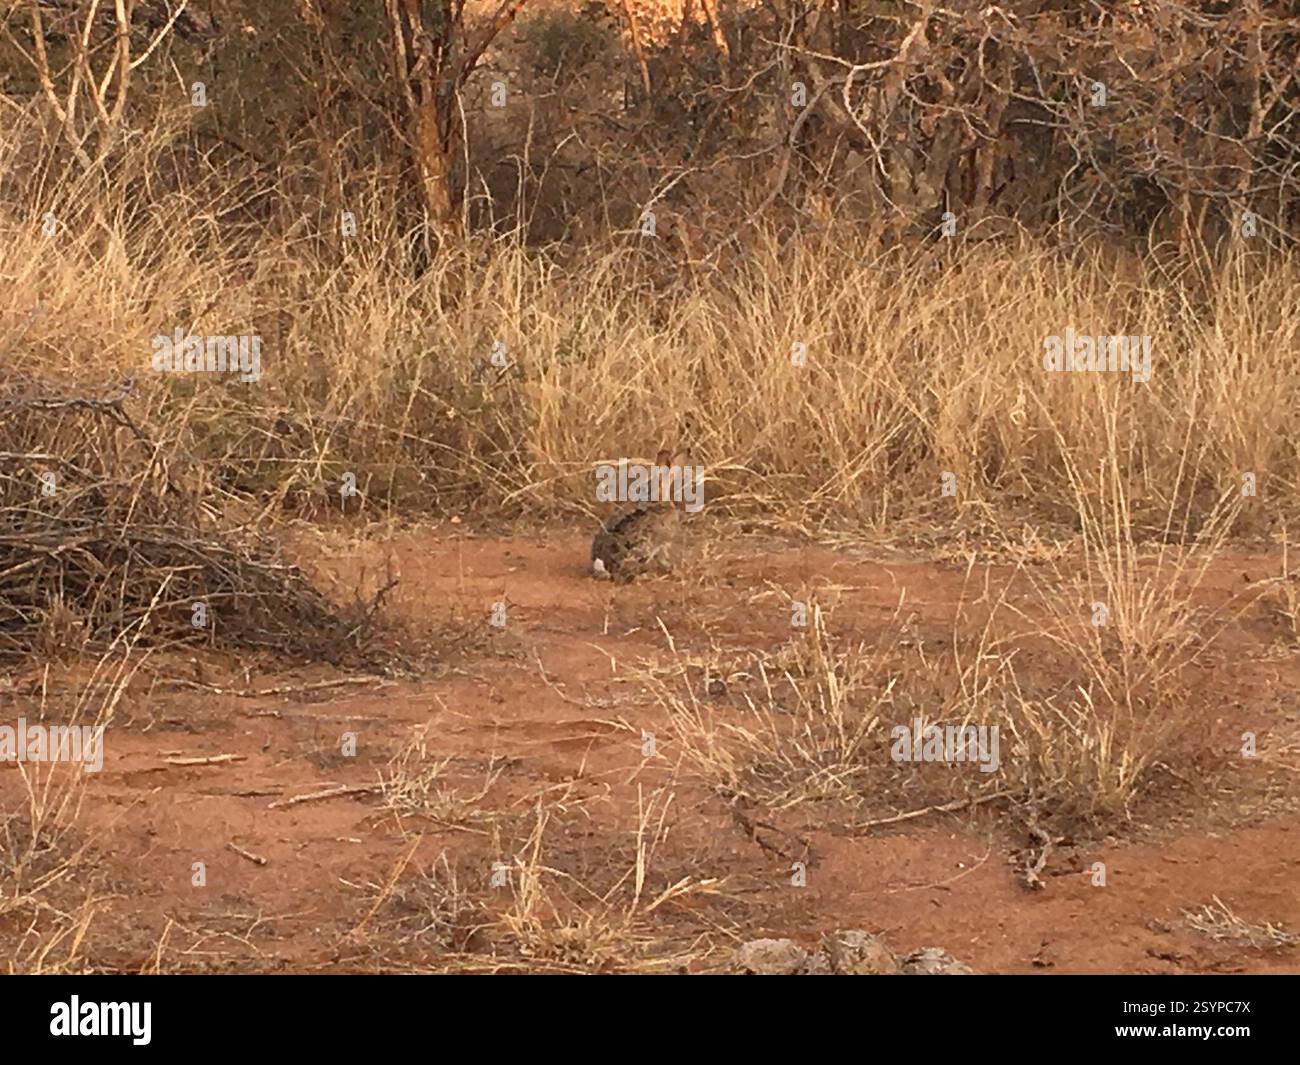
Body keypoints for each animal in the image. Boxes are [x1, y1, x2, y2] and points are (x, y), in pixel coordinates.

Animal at [591, 448, 692, 582]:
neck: (656, 494)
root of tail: (602, 563)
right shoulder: (663, 542)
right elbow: (663, 557)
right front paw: (675, 571)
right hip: (640, 551)